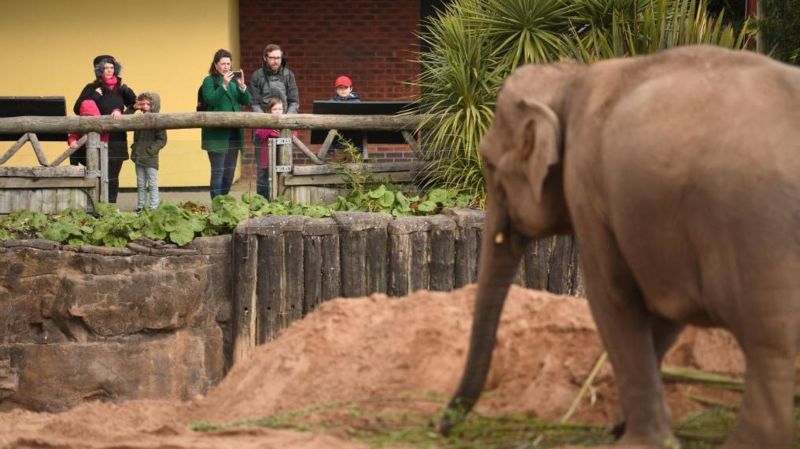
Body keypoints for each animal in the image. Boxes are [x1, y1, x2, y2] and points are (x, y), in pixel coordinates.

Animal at [438, 45, 800, 449]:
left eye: (488, 162)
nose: (442, 427)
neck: (570, 78)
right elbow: (664, 314)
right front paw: (622, 425)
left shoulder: (587, 189)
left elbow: (612, 297)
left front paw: (635, 440)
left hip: (757, 233)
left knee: (769, 344)